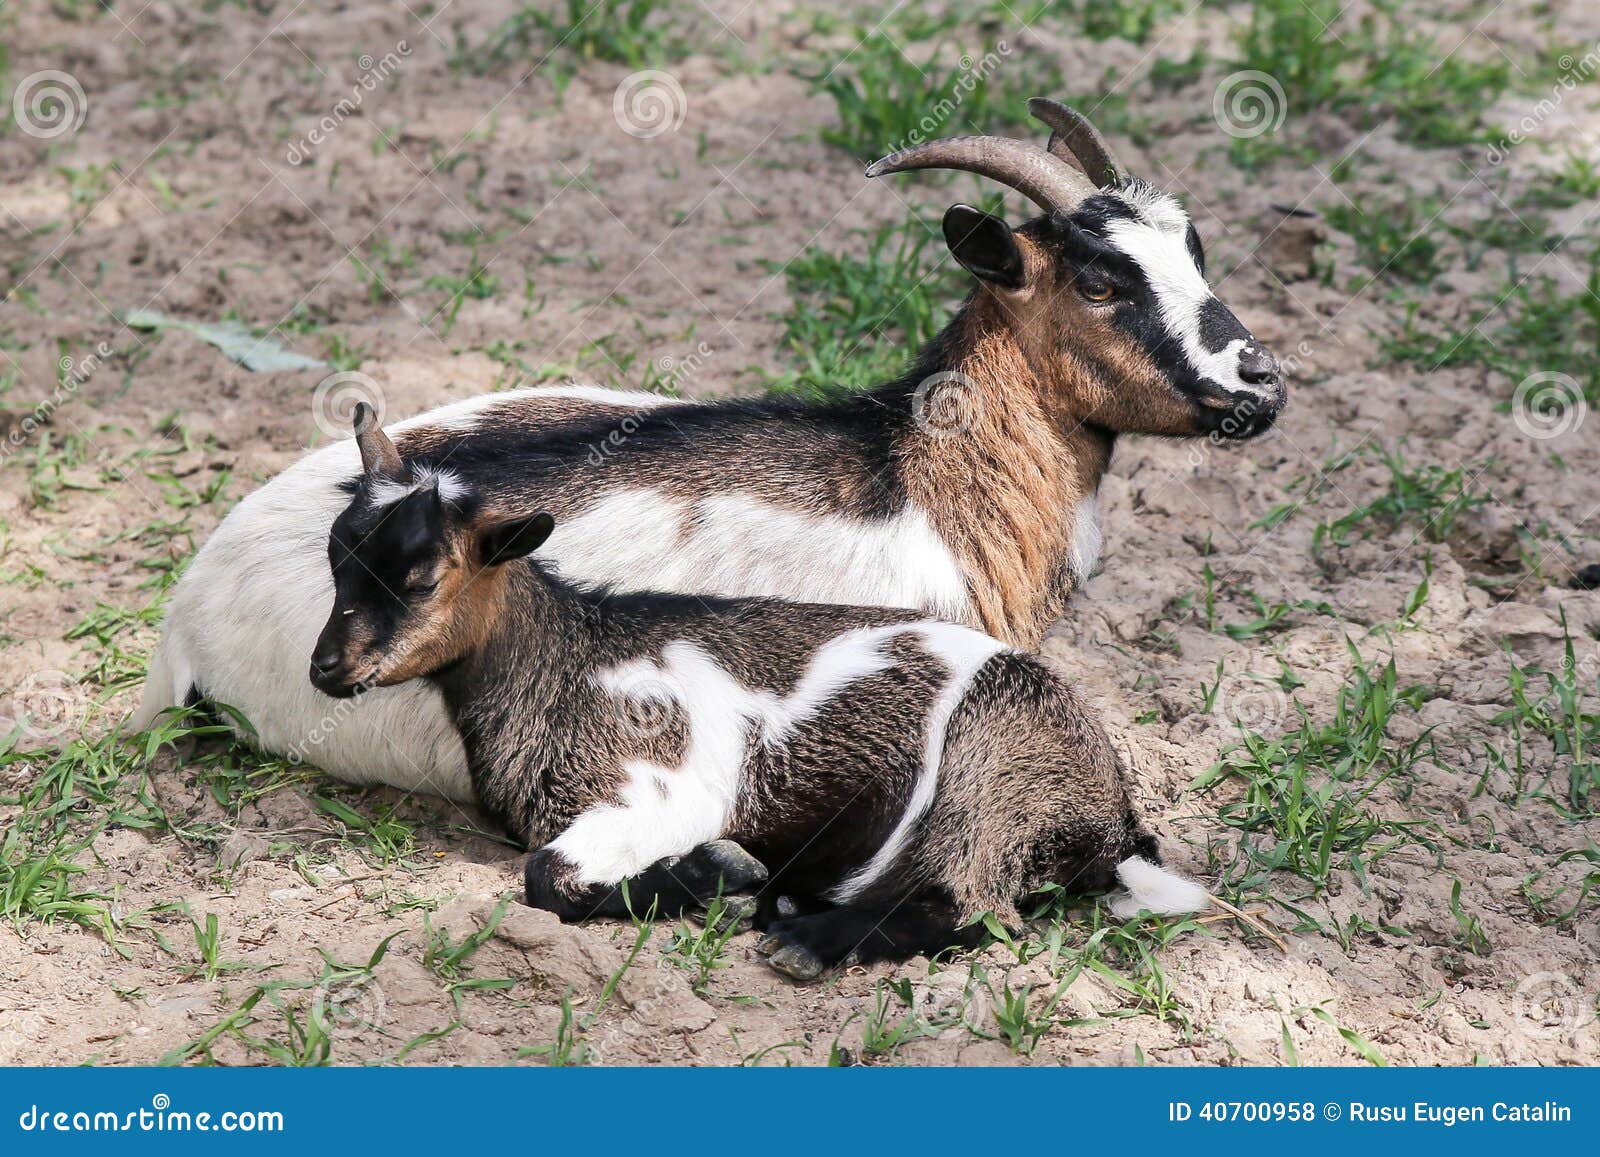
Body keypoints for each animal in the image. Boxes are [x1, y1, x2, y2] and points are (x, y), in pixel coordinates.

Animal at [307, 406, 1209, 978]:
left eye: (423, 578)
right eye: (338, 551)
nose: (325, 668)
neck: (570, 660)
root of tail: (1111, 815)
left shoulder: (658, 781)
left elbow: (547, 878)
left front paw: (715, 869)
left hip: (993, 768)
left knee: (972, 904)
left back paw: (801, 939)